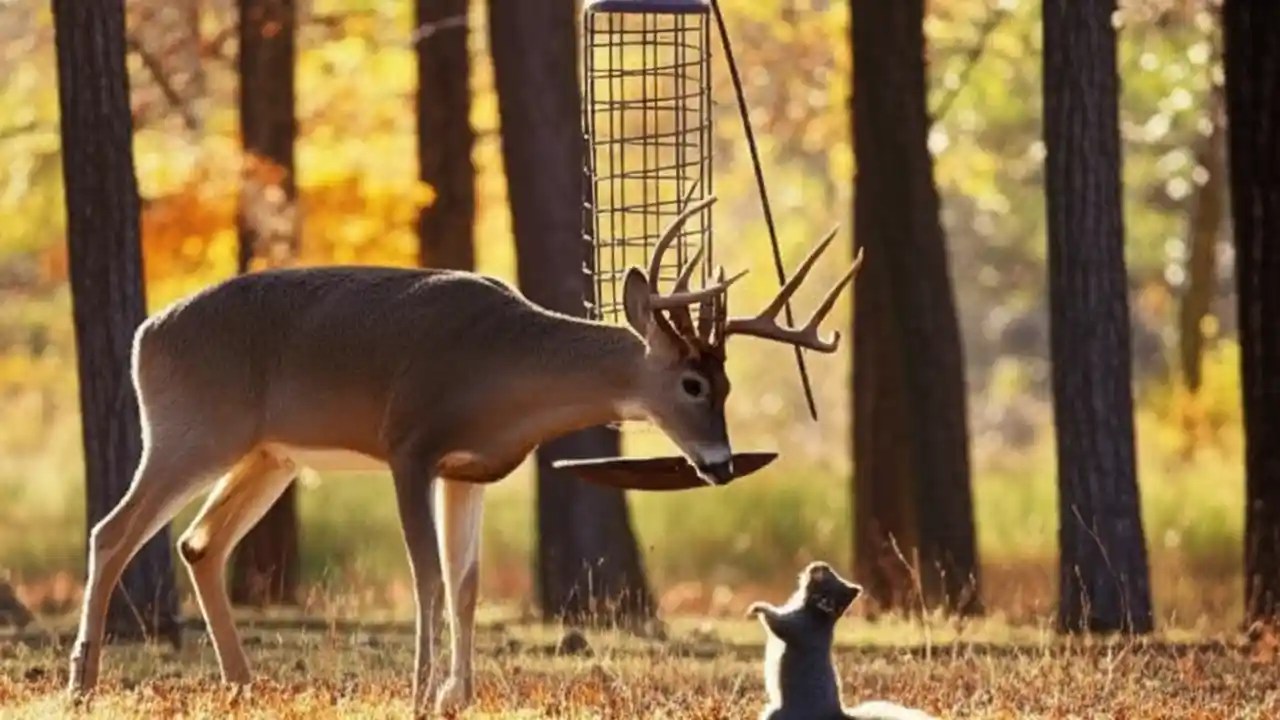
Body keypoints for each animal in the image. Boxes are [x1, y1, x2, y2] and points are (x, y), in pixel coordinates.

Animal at [66, 194, 864, 716]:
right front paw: (422, 693)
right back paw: (83, 681)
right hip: (192, 429)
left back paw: (242, 683)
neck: (501, 374)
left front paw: (461, 693)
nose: (722, 463)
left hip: (269, 454)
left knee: (200, 543)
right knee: (113, 530)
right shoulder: (409, 443)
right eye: (693, 383)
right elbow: (425, 575)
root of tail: (144, 336)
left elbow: (467, 582)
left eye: (728, 383)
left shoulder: (469, 469)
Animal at [747, 562, 936, 720]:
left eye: (826, 584)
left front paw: (758, 608)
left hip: (777, 714)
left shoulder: (799, 627)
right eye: (837, 581)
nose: (819, 565)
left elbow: (777, 624)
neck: (821, 615)